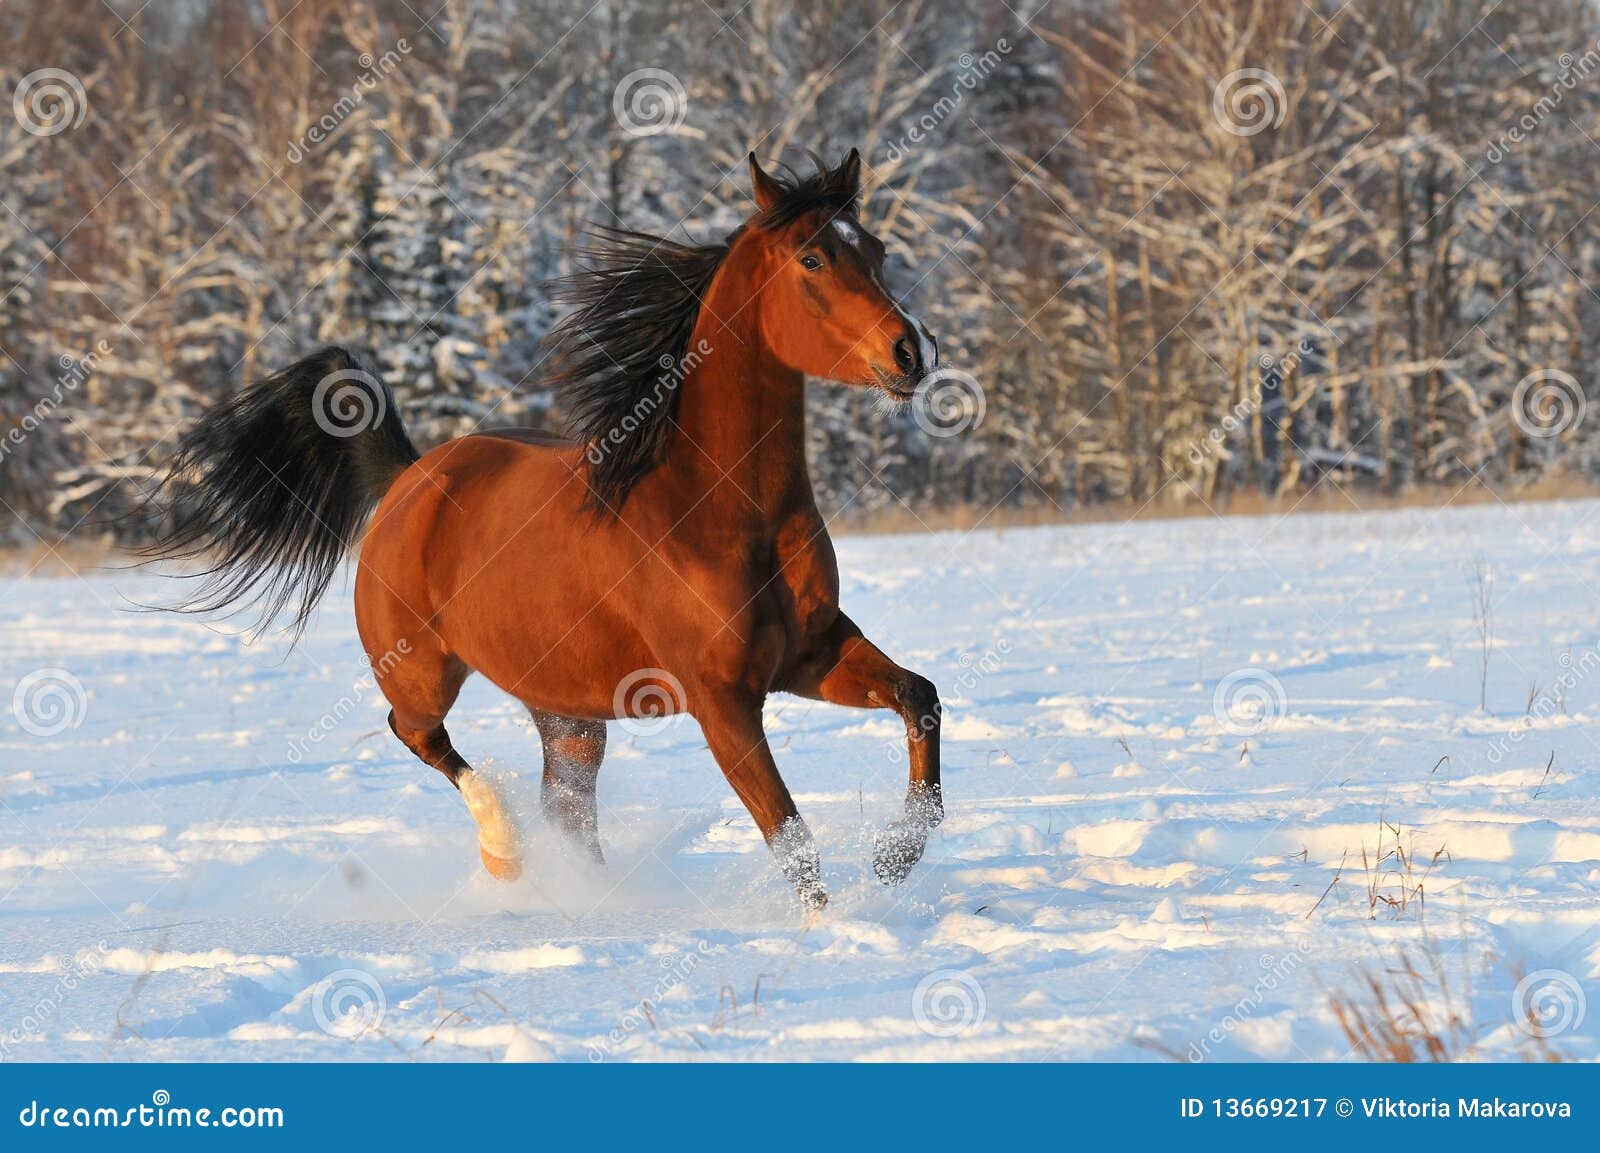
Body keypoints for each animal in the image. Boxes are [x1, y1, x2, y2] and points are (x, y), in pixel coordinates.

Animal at [147, 149, 943, 909]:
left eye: (875, 247)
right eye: (812, 259)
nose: (913, 352)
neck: (719, 510)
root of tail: (408, 479)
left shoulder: (810, 655)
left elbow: (920, 699)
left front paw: (895, 859)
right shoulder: (721, 699)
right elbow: (790, 834)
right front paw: (831, 923)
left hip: (566, 712)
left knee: (566, 806)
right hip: (423, 671)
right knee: (419, 735)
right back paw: (504, 851)